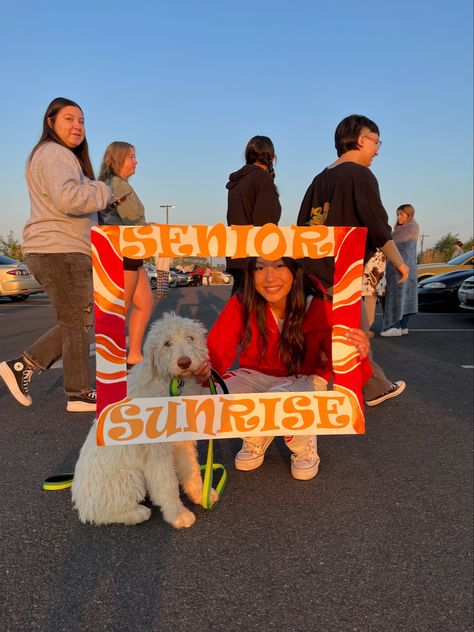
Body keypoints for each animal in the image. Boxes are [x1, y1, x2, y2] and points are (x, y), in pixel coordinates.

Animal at [71, 312, 213, 528]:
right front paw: (178, 515)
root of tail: (80, 502)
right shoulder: (157, 451)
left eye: (190, 338)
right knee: (100, 514)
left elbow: (192, 469)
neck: (168, 383)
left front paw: (200, 494)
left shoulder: (182, 441)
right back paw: (136, 513)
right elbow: (167, 483)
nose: (184, 362)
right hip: (128, 476)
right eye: (166, 343)